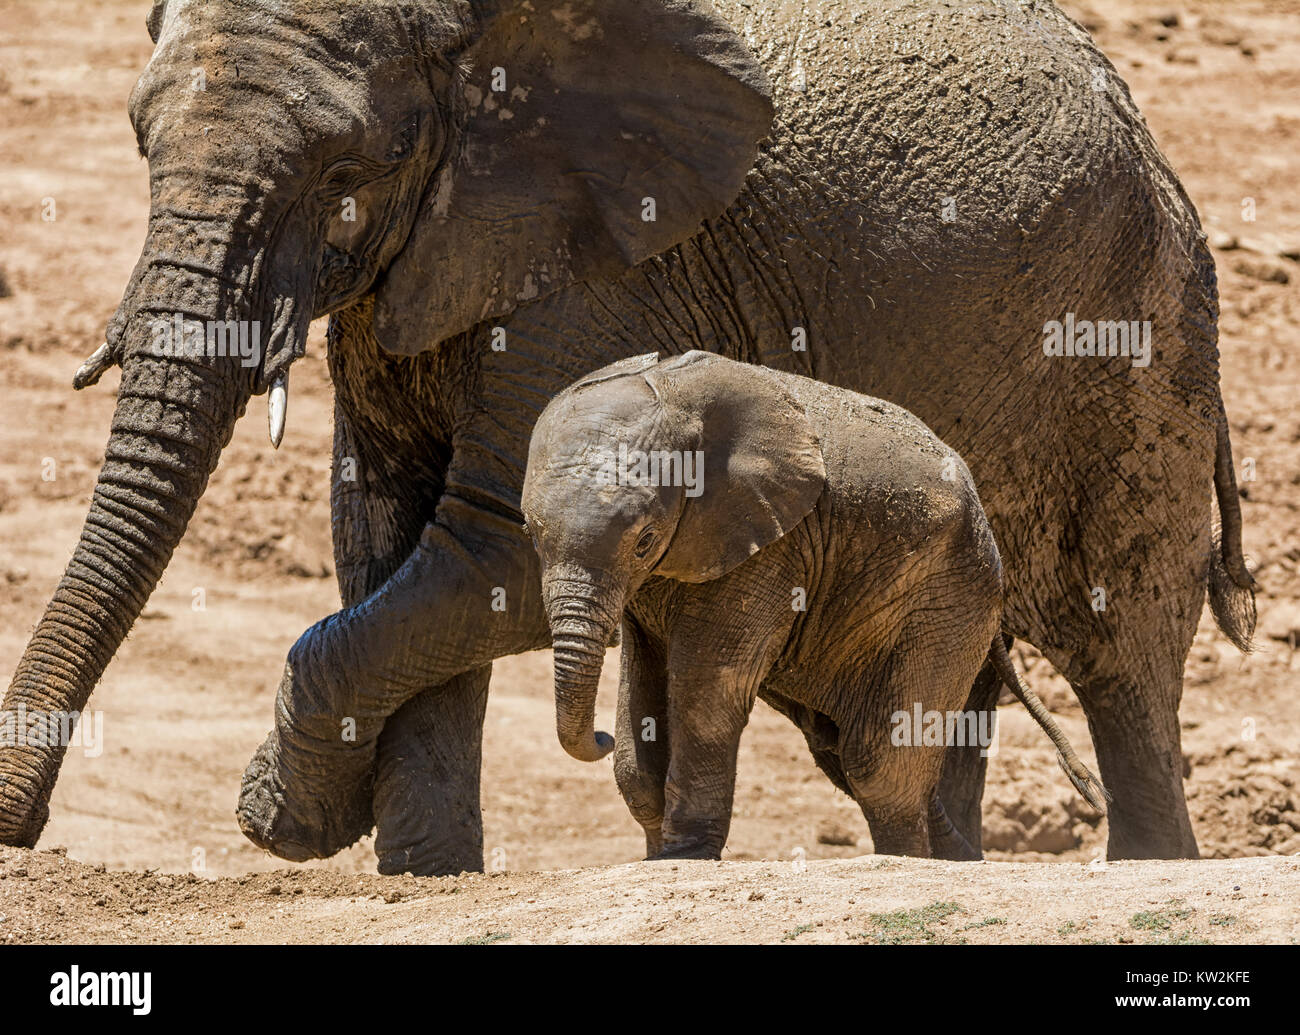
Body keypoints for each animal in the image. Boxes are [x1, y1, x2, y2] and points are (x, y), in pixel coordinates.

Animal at [519, 351, 1108, 859]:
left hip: (951, 600)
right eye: (530, 534)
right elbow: (642, 688)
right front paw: (655, 856)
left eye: (643, 540)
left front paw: (682, 858)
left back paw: (902, 862)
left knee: (875, 766)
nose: (597, 734)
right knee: (842, 755)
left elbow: (710, 688)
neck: (671, 391)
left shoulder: (774, 545)